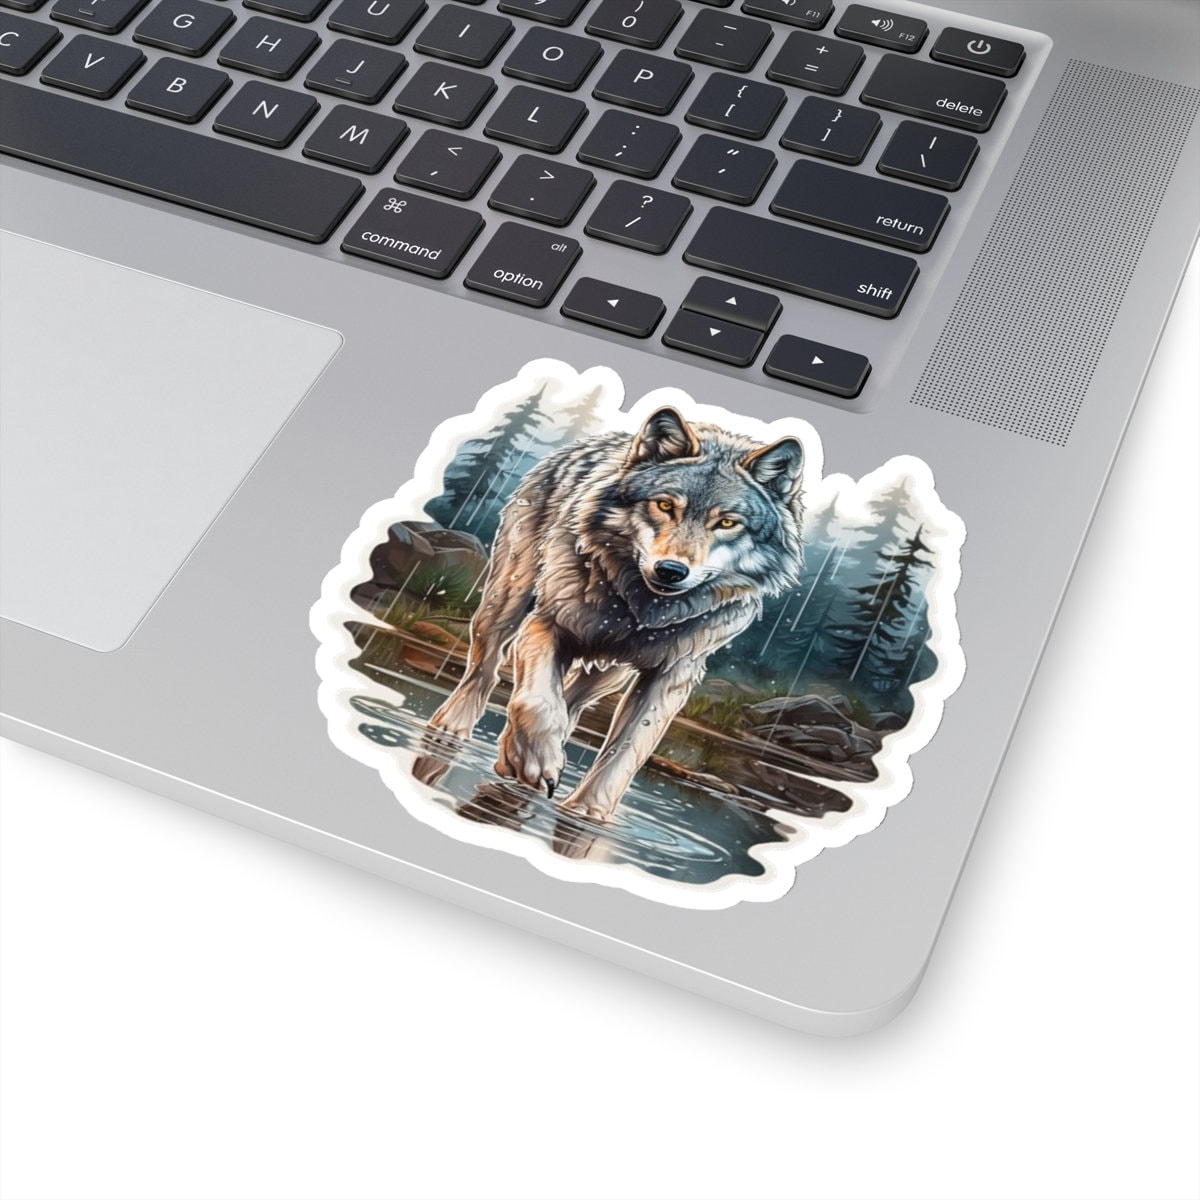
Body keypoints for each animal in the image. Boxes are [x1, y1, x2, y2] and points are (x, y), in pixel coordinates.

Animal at [423, 406, 806, 821]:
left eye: (727, 523)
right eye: (665, 505)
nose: (671, 571)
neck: (640, 610)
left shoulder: (672, 674)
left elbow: (627, 751)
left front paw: (588, 812)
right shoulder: (547, 623)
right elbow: (535, 701)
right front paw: (536, 763)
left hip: (612, 671)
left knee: (570, 702)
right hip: (505, 604)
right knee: (486, 669)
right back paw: (453, 729)